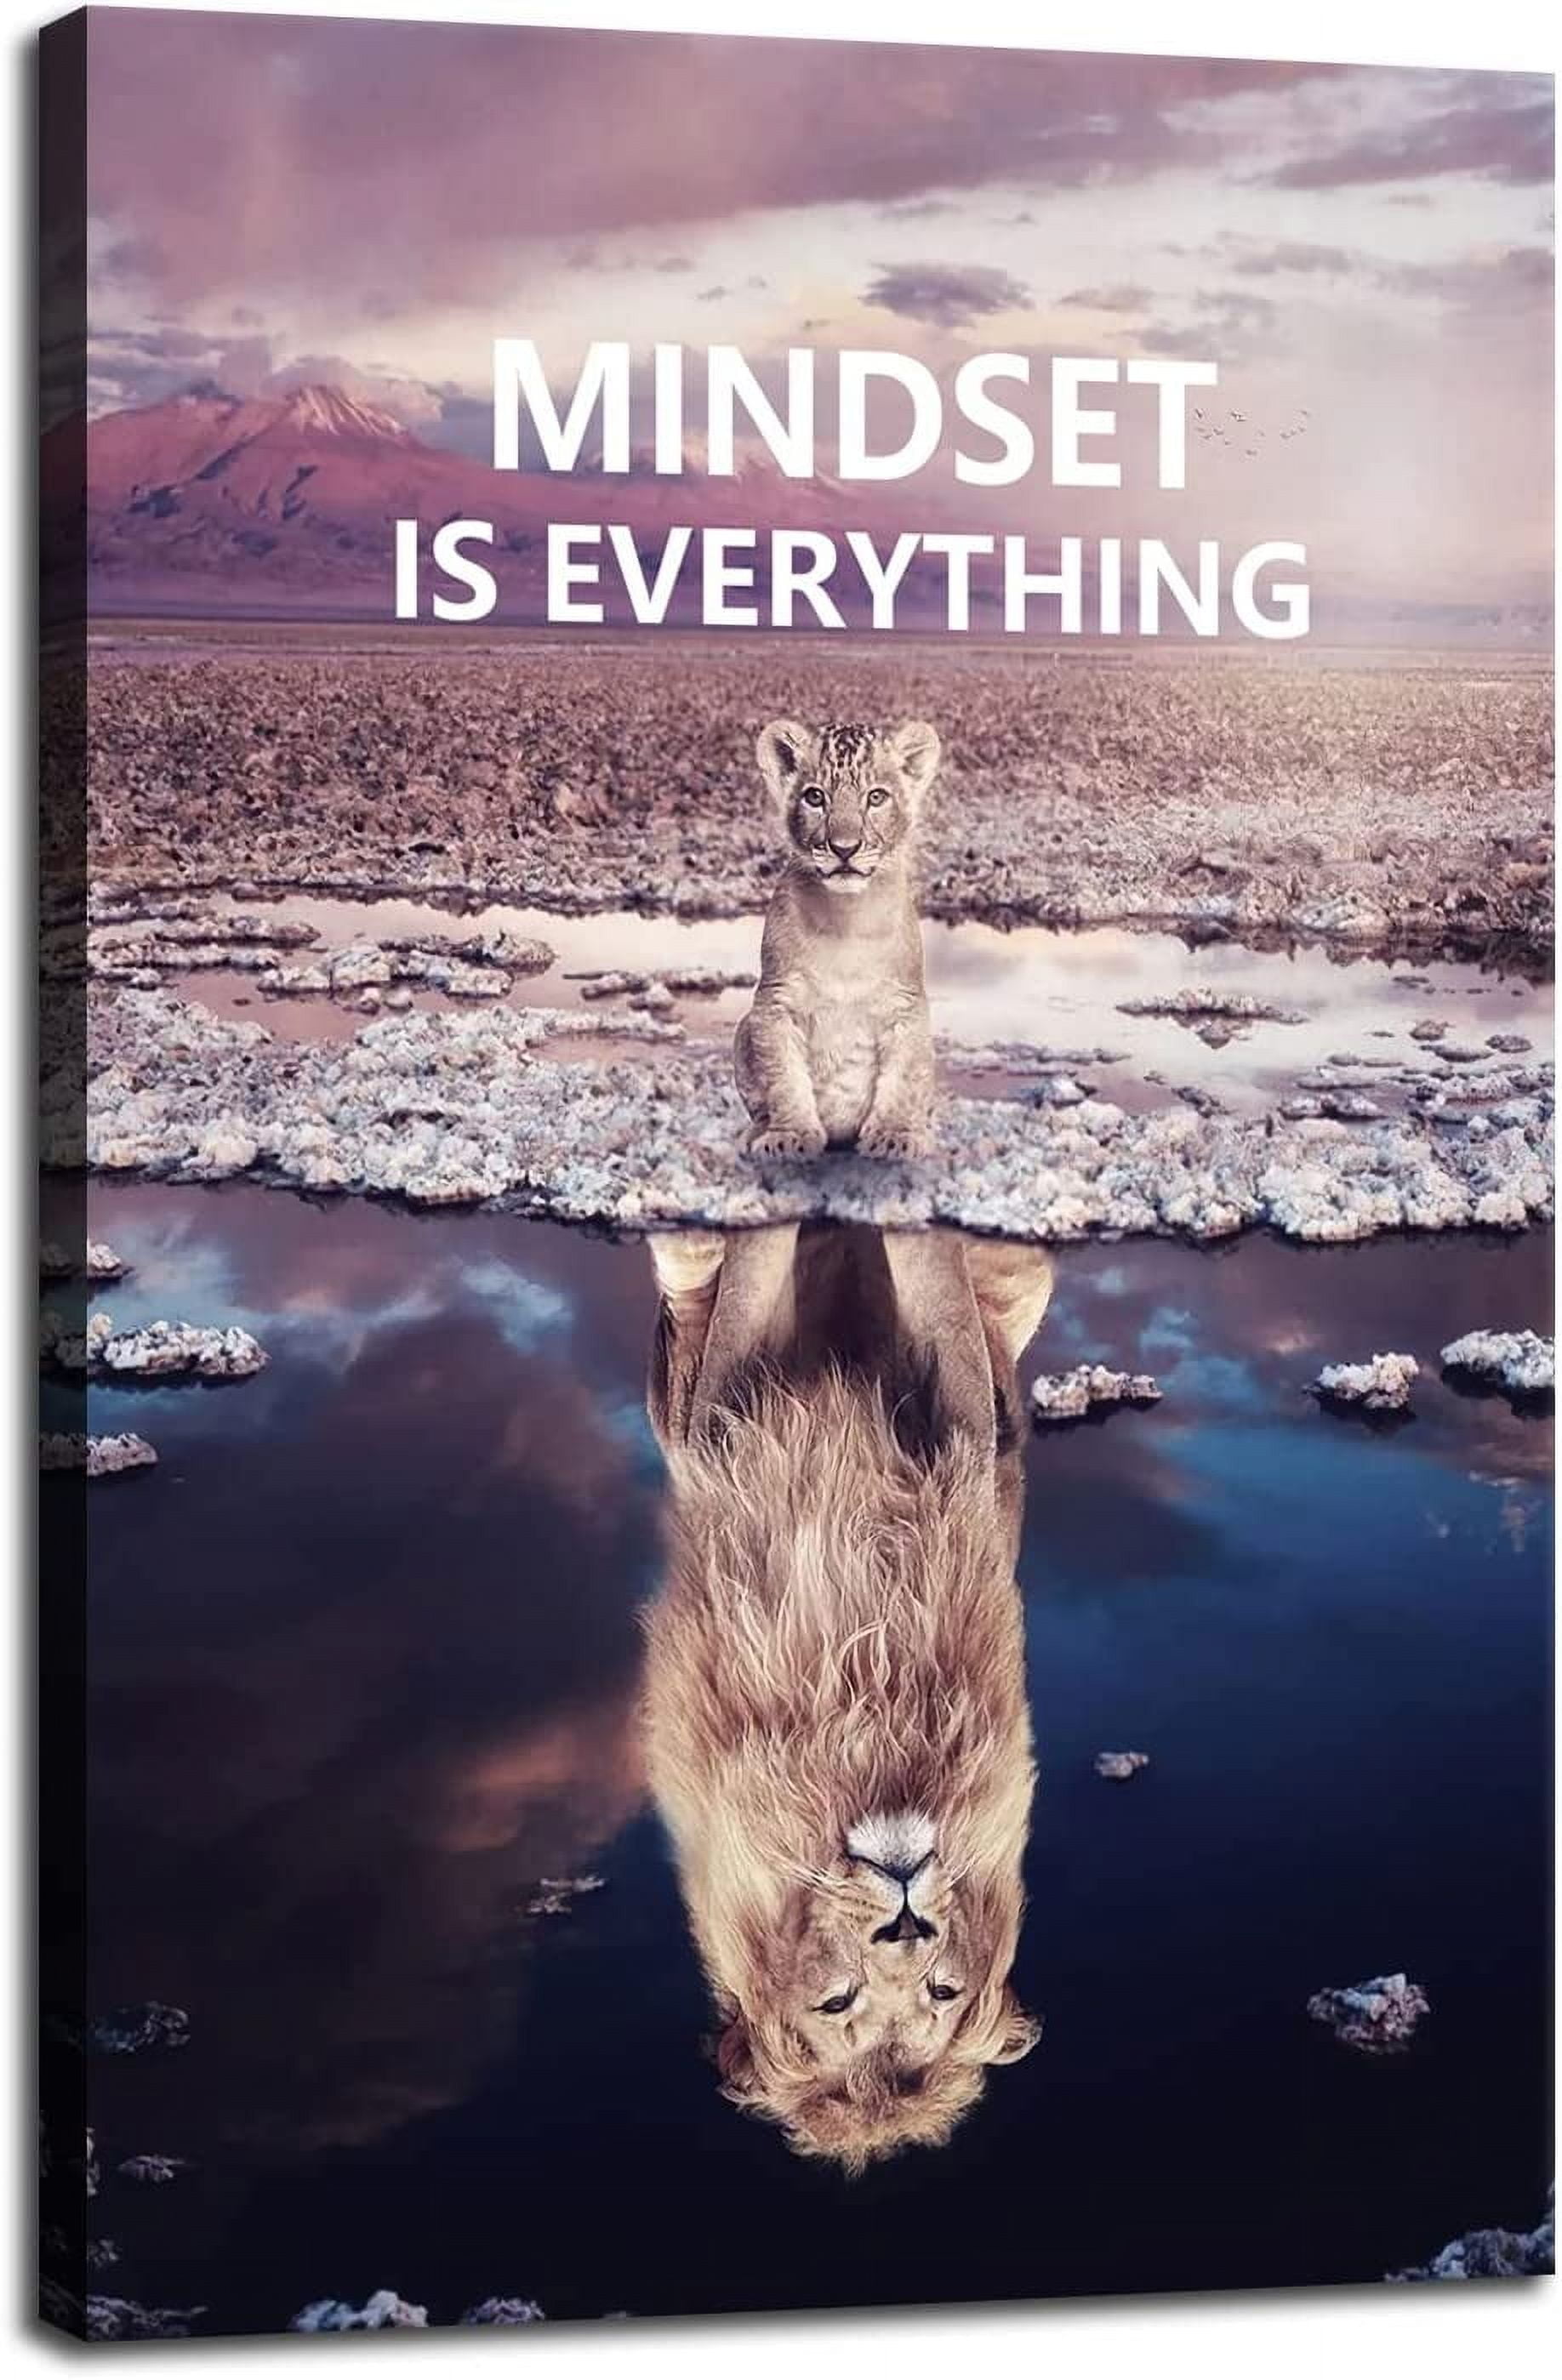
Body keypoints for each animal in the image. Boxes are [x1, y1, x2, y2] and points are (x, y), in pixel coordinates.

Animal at [640, 1220, 1053, 2173]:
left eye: (943, 1991)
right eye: (837, 2004)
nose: (905, 1921)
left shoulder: (963, 1422)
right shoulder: (723, 1413)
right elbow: (753, 1274)